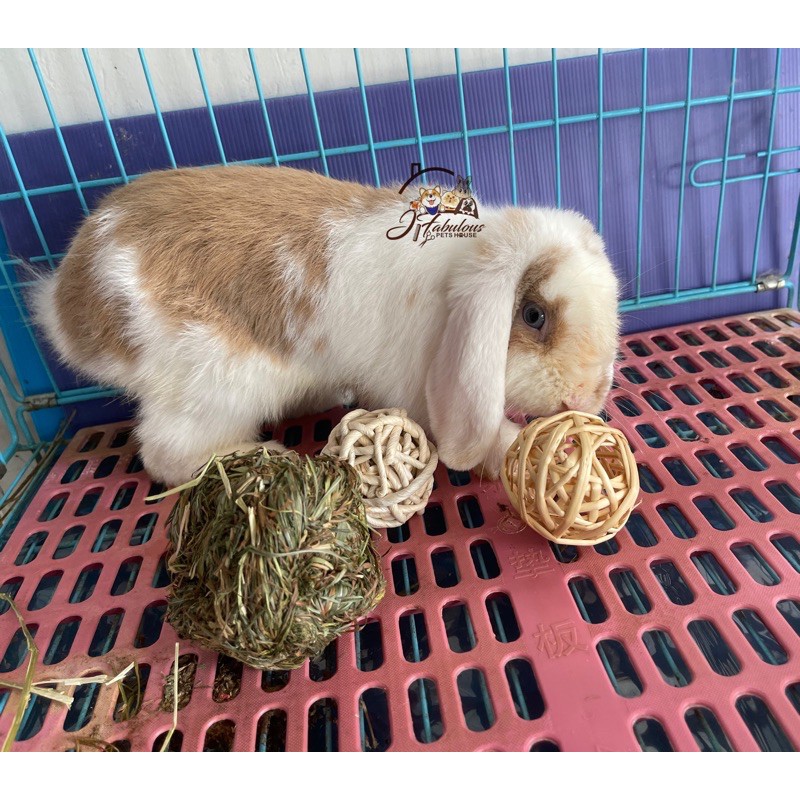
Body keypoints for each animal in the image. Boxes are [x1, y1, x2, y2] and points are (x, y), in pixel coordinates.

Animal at [32, 165, 620, 487]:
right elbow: (492, 436)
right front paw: (546, 453)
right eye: (535, 315)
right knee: (165, 455)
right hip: (212, 383)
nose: (587, 399)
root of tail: (69, 302)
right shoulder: (425, 391)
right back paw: (267, 454)